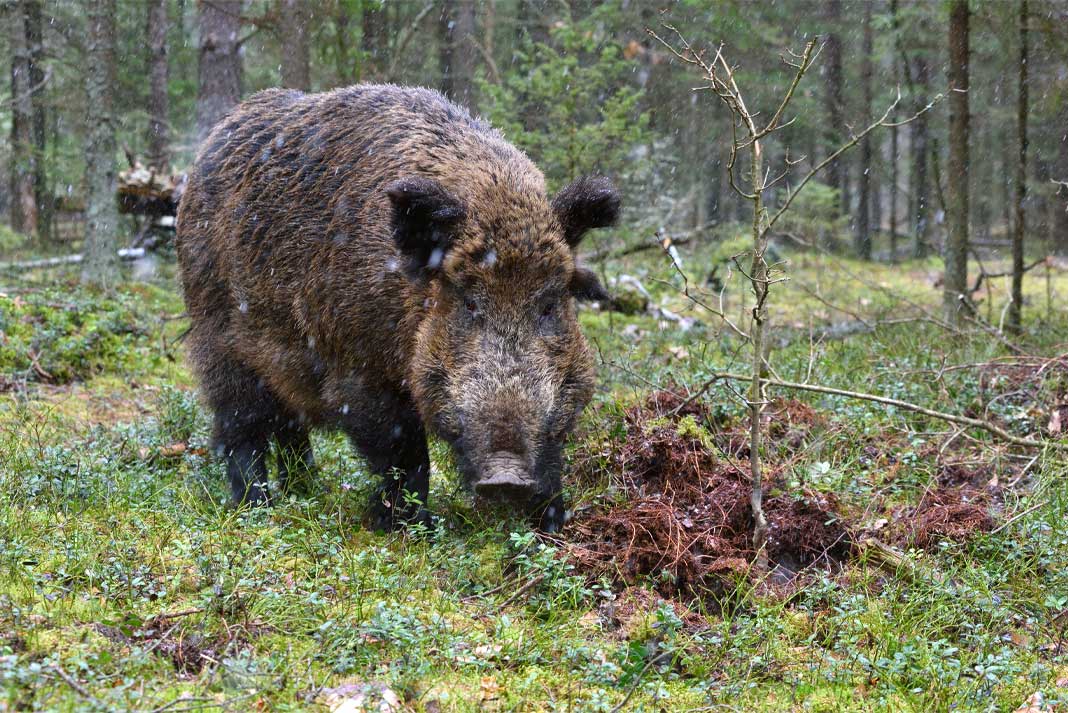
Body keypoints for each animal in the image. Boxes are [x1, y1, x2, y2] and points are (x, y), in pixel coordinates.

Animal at [175, 84, 618, 532]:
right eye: (469, 302)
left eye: (548, 305)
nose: (505, 476)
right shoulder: (359, 371)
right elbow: (406, 452)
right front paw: (407, 527)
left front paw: (552, 522)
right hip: (218, 336)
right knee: (240, 427)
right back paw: (257, 509)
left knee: (289, 427)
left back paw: (307, 490)